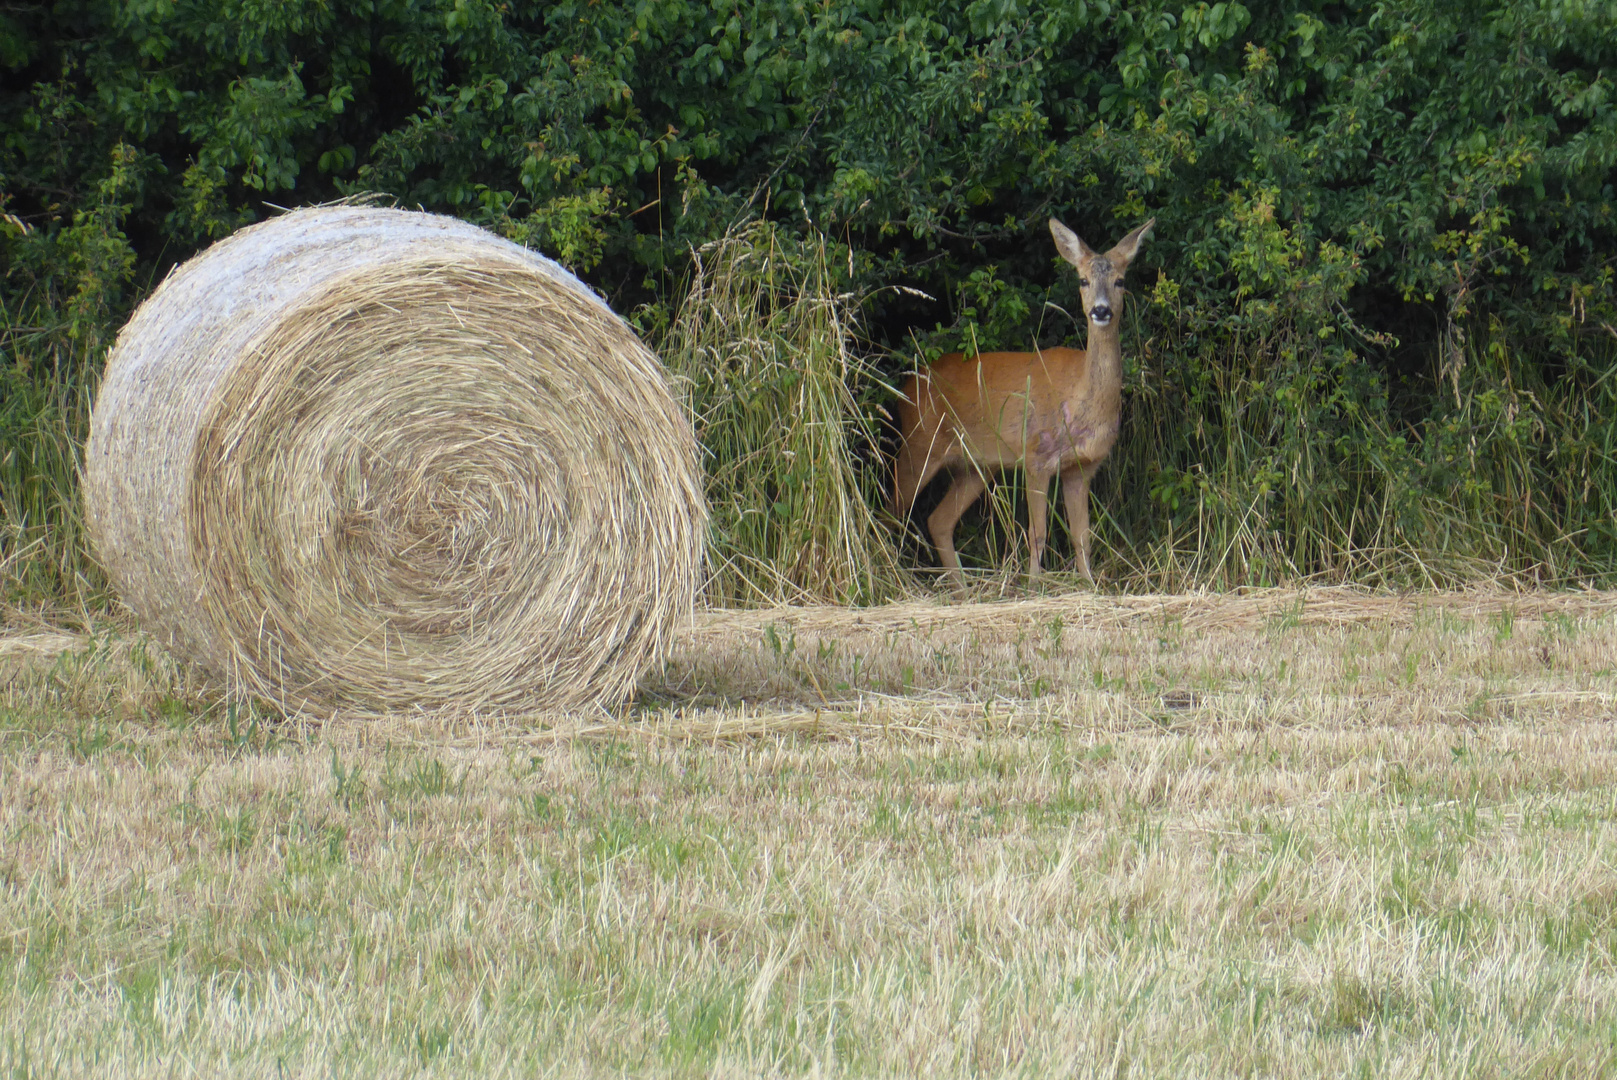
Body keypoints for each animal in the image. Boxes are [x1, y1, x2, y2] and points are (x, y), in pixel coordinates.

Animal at [892, 215, 1157, 585]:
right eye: (1083, 279)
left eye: (1119, 280)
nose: (1101, 310)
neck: (1081, 399)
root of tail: (906, 385)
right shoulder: (1036, 455)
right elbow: (1038, 531)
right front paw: (1034, 585)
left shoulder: (1082, 467)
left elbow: (1082, 535)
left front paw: (1089, 584)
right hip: (919, 442)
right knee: (889, 508)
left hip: (976, 465)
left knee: (938, 520)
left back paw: (962, 588)